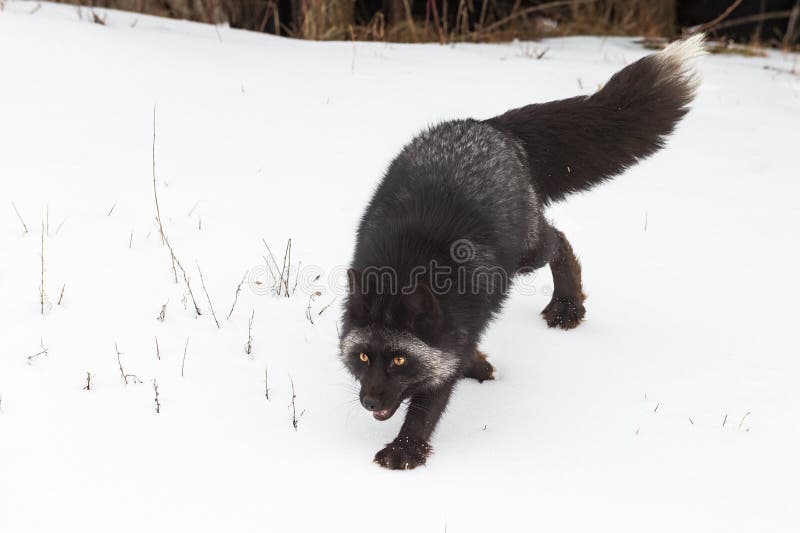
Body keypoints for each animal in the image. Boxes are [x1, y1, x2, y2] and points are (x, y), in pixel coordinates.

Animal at [340, 35, 706, 470]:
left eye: (398, 360)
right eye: (363, 358)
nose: (368, 401)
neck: (406, 262)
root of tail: (489, 125)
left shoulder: (458, 326)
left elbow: (431, 401)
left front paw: (405, 450)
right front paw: (477, 366)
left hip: (527, 253)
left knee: (558, 239)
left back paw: (568, 305)